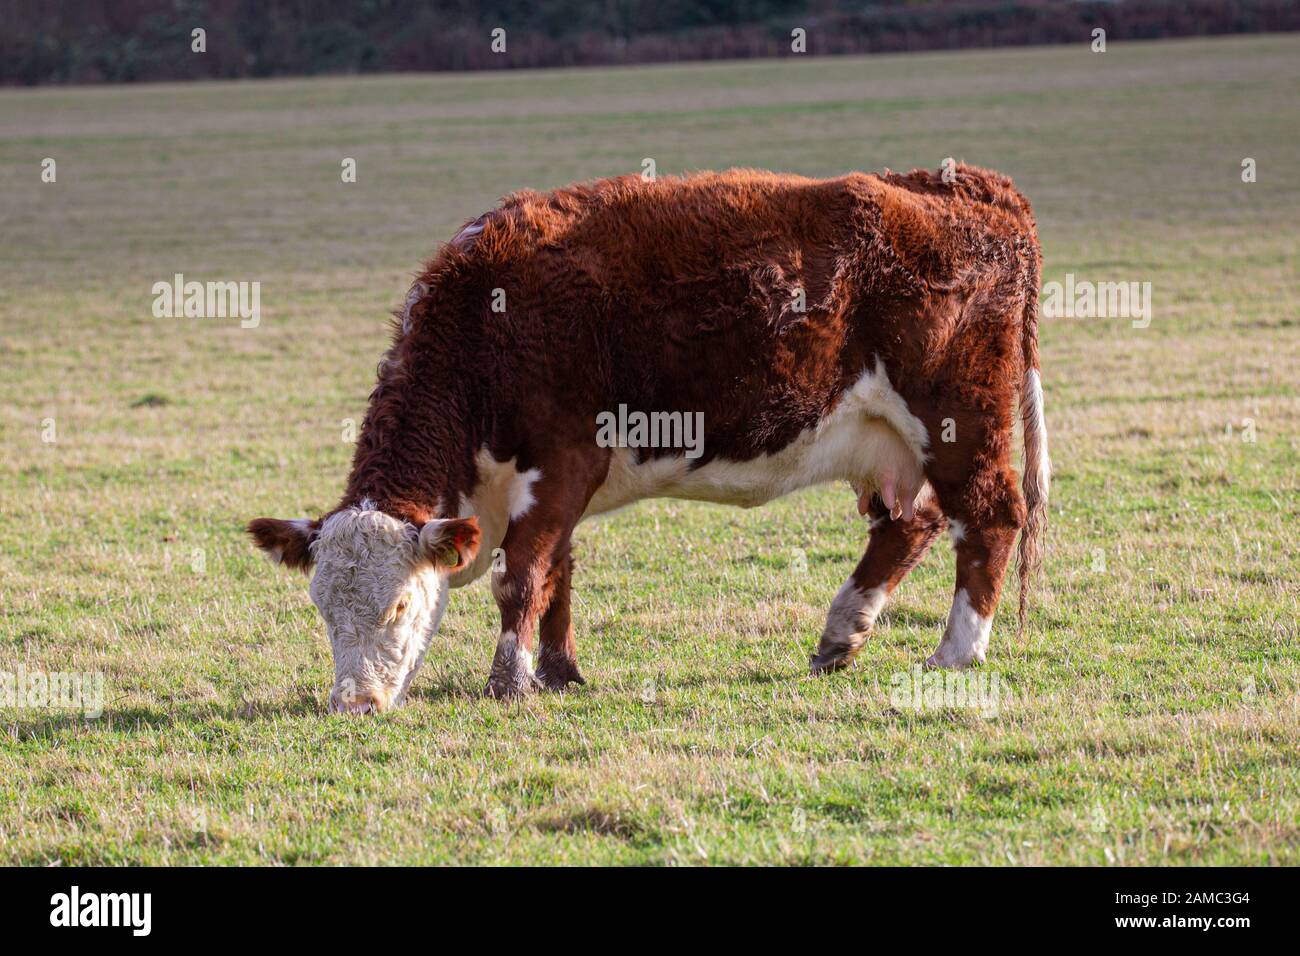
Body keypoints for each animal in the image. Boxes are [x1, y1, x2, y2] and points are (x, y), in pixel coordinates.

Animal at [248, 163, 1049, 712]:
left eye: (397, 608)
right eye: (323, 610)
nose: (354, 704)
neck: (489, 320)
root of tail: (966, 184)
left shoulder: (563, 459)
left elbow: (521, 576)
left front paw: (511, 679)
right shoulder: (553, 483)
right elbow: (558, 574)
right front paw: (560, 672)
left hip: (957, 419)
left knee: (990, 517)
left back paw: (955, 652)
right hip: (888, 442)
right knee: (912, 523)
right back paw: (840, 633)